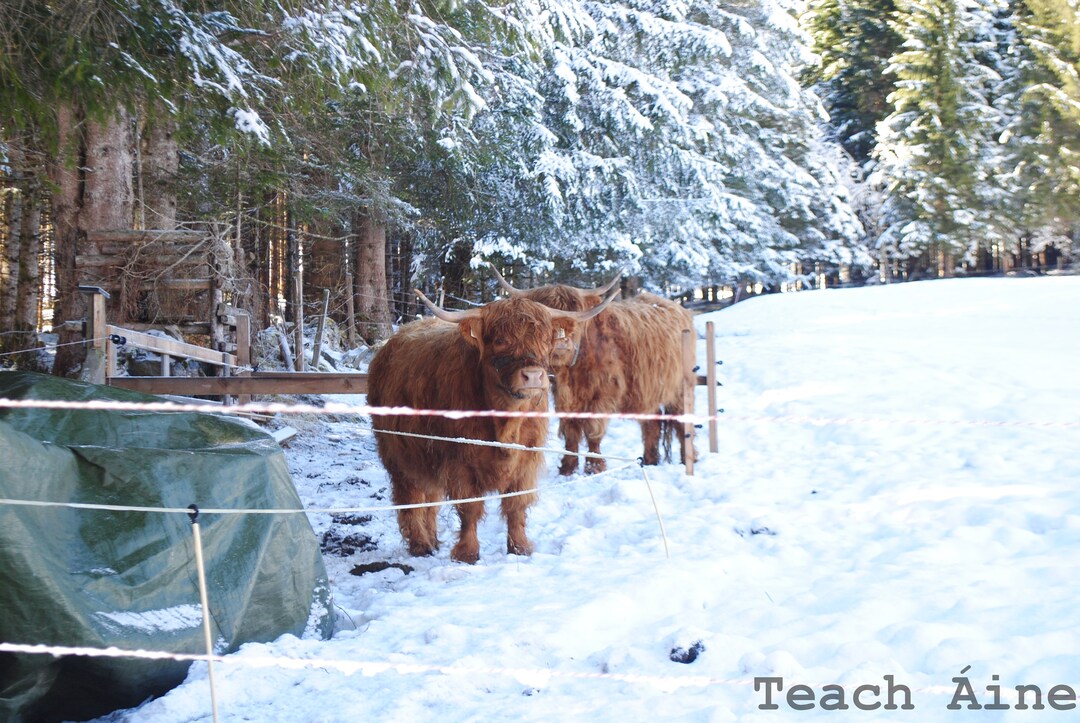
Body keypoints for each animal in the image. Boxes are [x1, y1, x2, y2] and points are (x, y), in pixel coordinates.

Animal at [366, 289, 616, 563]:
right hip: (398, 454)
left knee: (429, 498)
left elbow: (516, 505)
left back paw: (432, 540)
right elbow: (470, 508)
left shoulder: (526, 461)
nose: (533, 376)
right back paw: (420, 545)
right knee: (409, 497)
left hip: (427, 456)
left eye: (544, 338)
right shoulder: (459, 461)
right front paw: (467, 553)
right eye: (500, 340)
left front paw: (520, 548)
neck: (505, 422)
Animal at [491, 266, 696, 476]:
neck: (572, 372)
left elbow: (592, 431)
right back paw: (650, 460)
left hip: (680, 388)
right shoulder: (565, 398)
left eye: (574, 315)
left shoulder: (603, 394)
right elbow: (571, 431)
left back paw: (687, 459)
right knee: (652, 422)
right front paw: (567, 468)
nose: (561, 343)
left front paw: (594, 467)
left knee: (682, 422)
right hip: (648, 390)